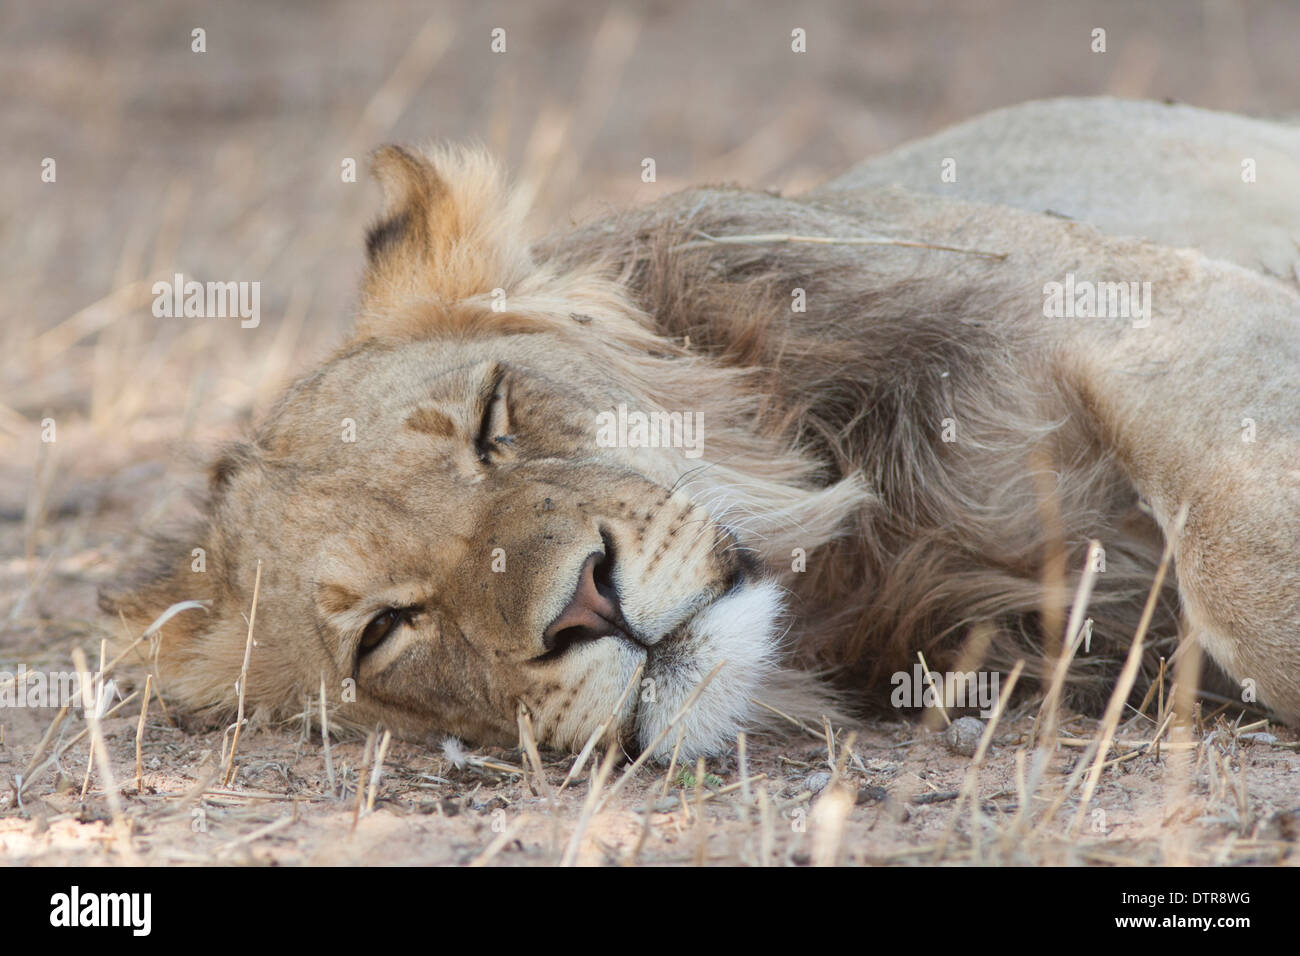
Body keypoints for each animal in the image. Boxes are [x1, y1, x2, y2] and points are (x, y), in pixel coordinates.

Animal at [104, 95, 1300, 754]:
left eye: (493, 419)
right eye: (385, 630)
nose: (582, 604)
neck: (863, 558)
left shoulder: (1142, 310)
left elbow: (1245, 580)